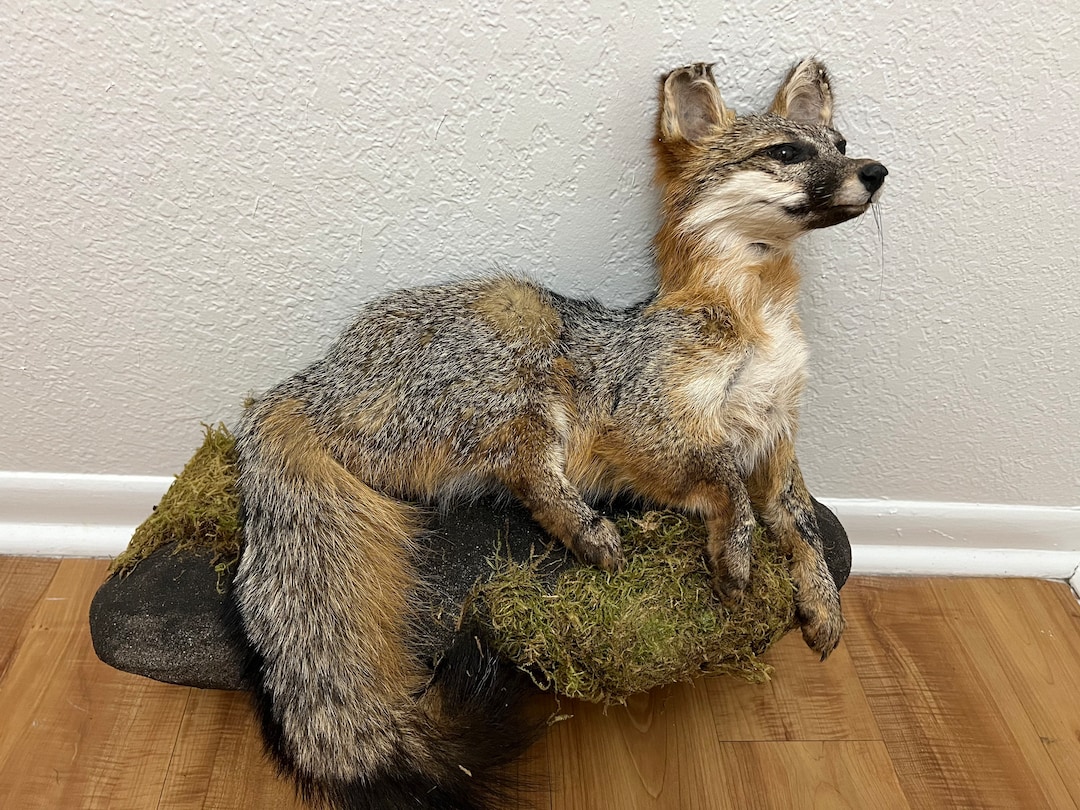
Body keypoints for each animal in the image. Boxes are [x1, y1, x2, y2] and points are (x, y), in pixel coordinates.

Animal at [232, 57, 887, 809]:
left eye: (840, 144)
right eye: (786, 152)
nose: (877, 171)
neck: (756, 323)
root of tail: (309, 382)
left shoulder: (775, 443)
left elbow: (803, 528)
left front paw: (822, 603)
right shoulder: (646, 425)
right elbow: (729, 489)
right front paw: (735, 555)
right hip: (526, 347)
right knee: (529, 475)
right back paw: (589, 530)